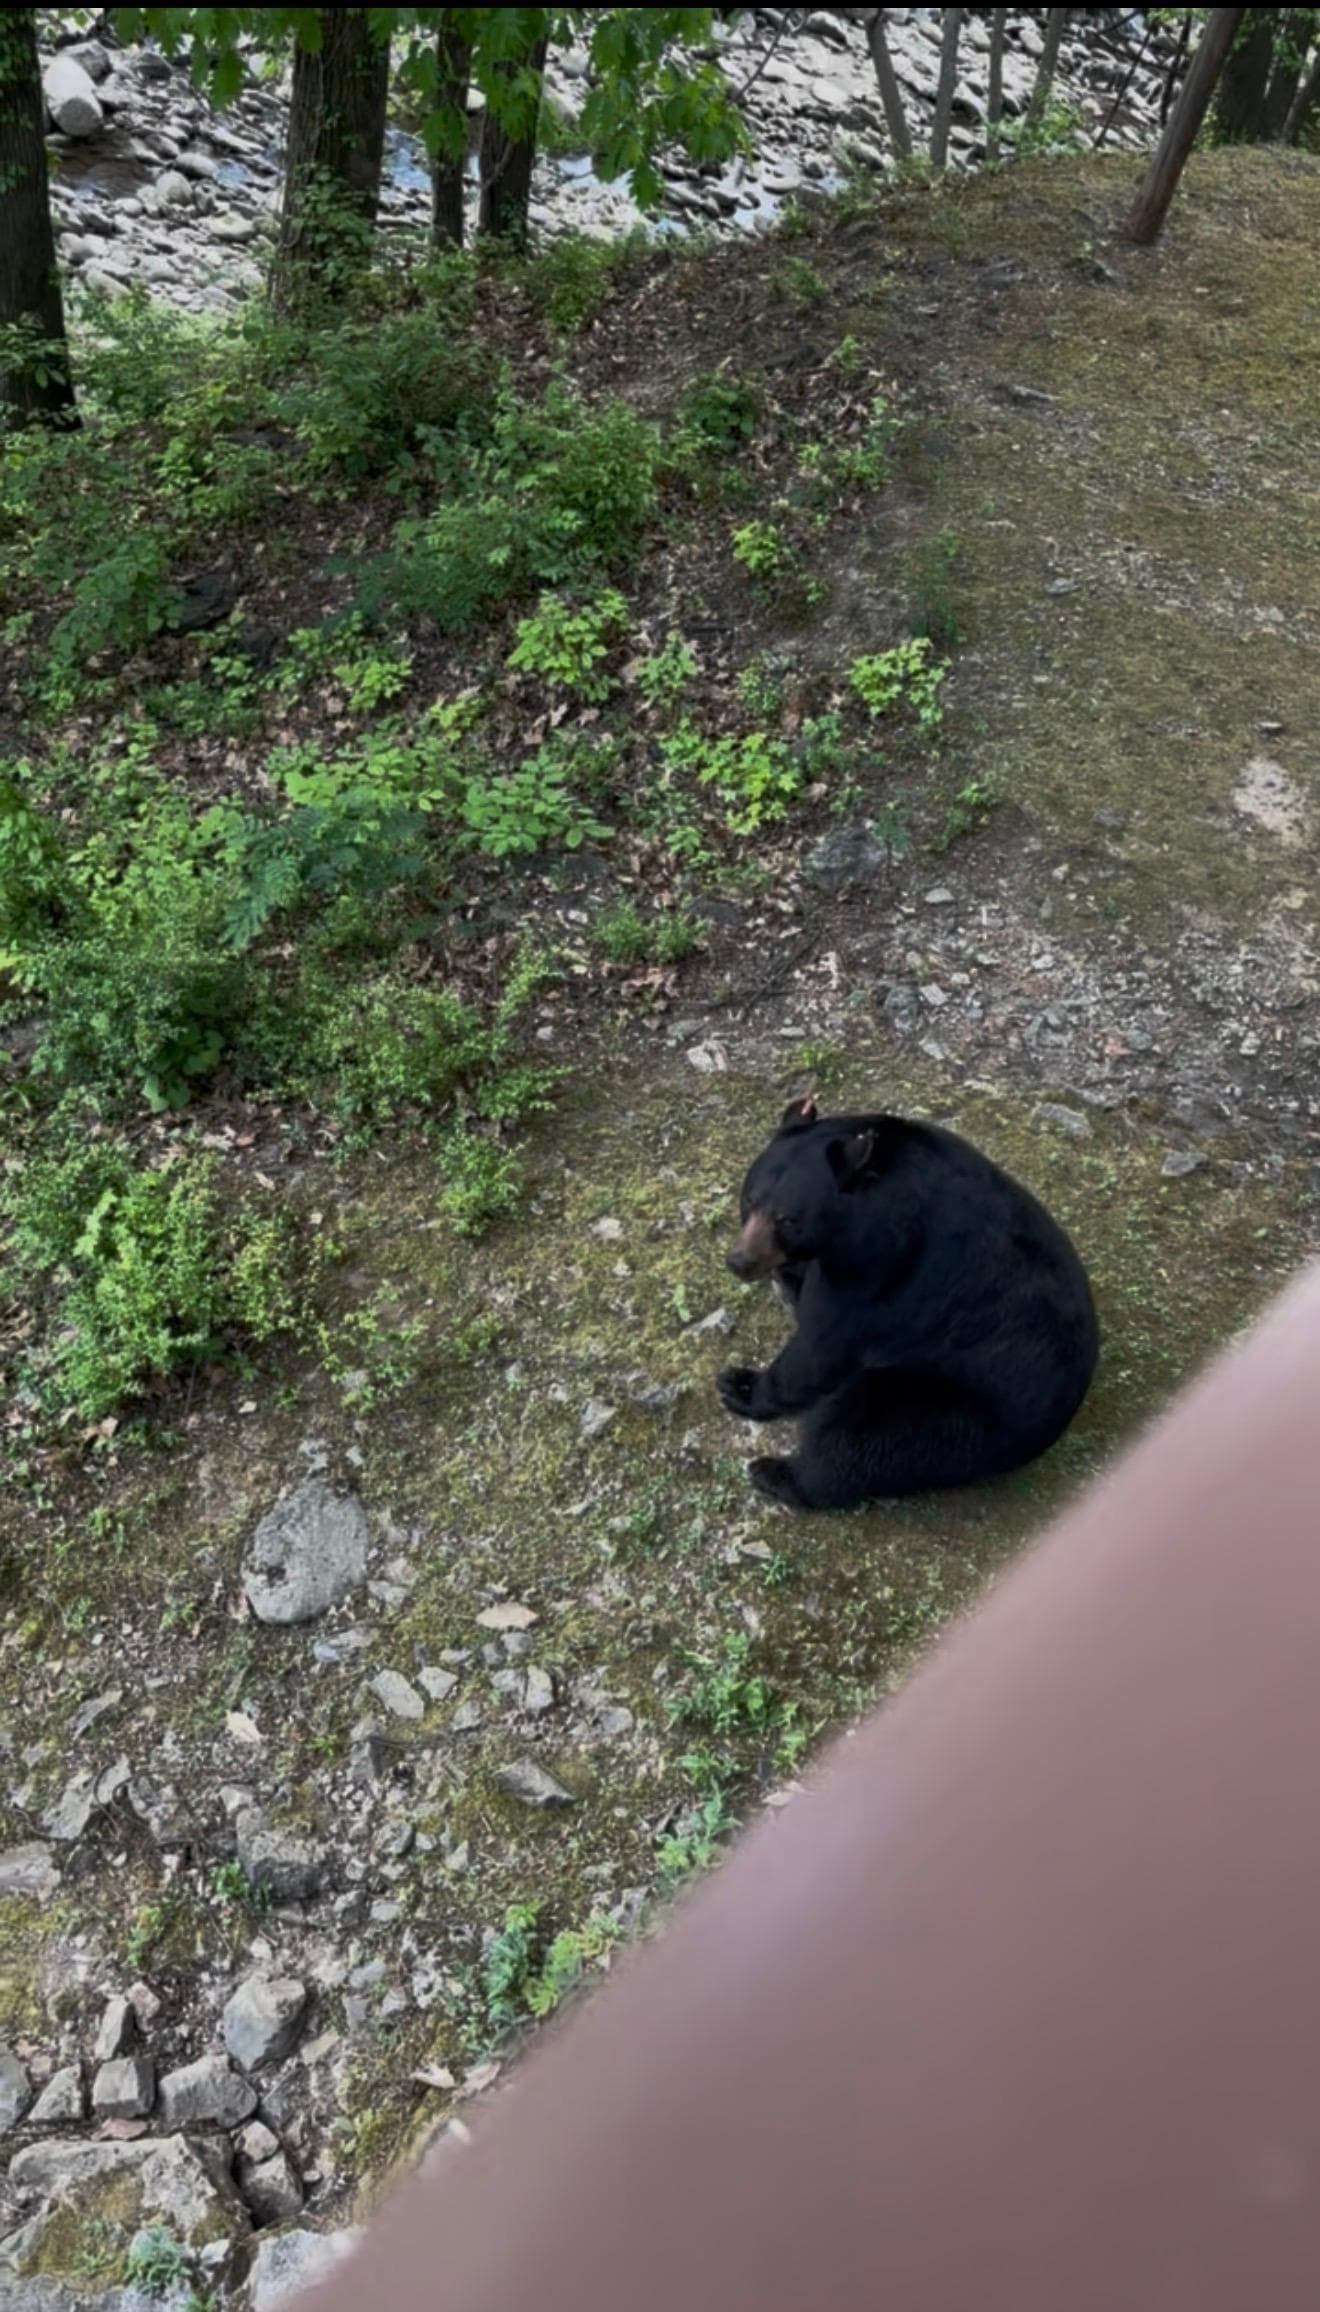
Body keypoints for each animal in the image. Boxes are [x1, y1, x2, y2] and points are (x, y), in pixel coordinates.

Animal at [717, 1095, 1099, 1512]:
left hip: (951, 1401)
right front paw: (787, 1279)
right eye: (750, 1199)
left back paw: (778, 1474)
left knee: (859, 1433)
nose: (740, 1261)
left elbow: (821, 1346)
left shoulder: (879, 1262)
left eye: (787, 1218)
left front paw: (742, 1386)